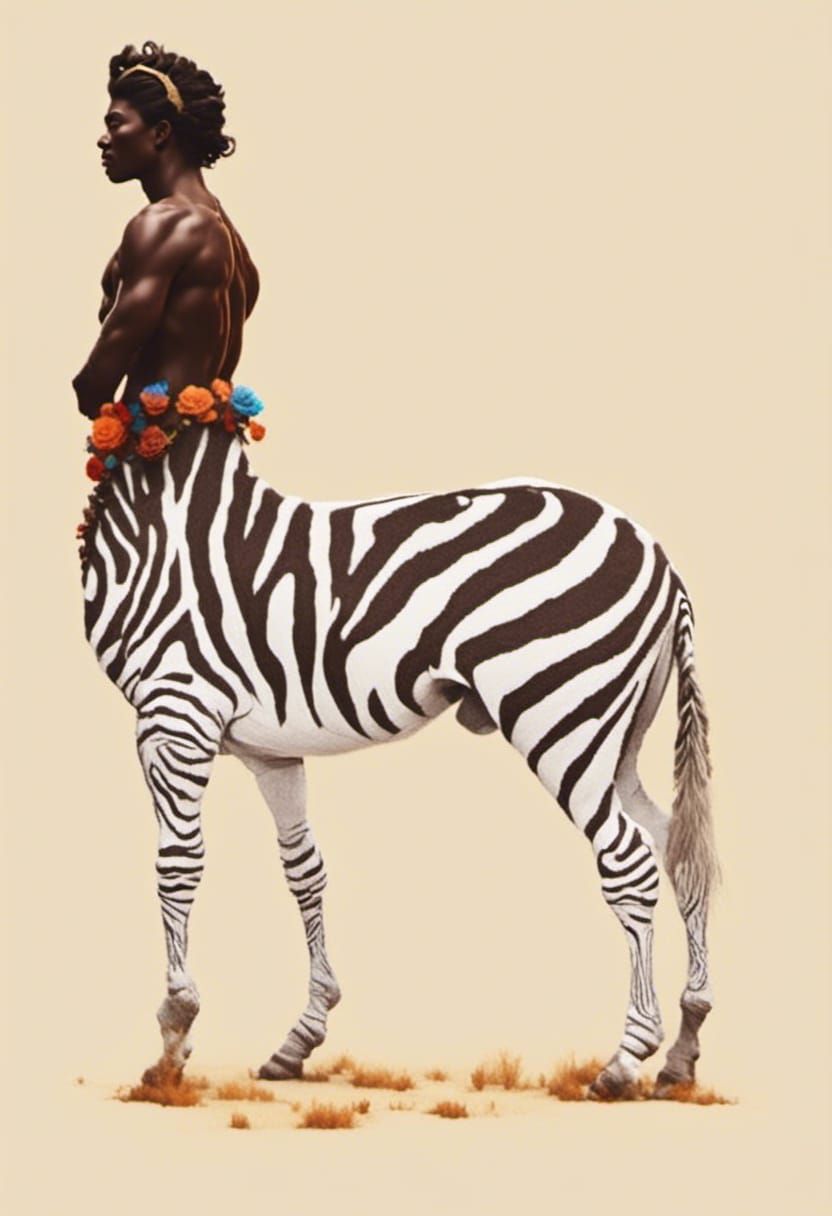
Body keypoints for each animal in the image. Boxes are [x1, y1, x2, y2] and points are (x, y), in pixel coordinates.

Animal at [78, 405, 717, 1100]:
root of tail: (659, 558)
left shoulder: (174, 718)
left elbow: (176, 867)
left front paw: (173, 1038)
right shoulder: (269, 749)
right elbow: (304, 868)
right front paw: (301, 1036)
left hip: (559, 714)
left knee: (628, 857)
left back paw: (626, 1058)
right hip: (614, 735)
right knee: (679, 847)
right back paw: (683, 1045)